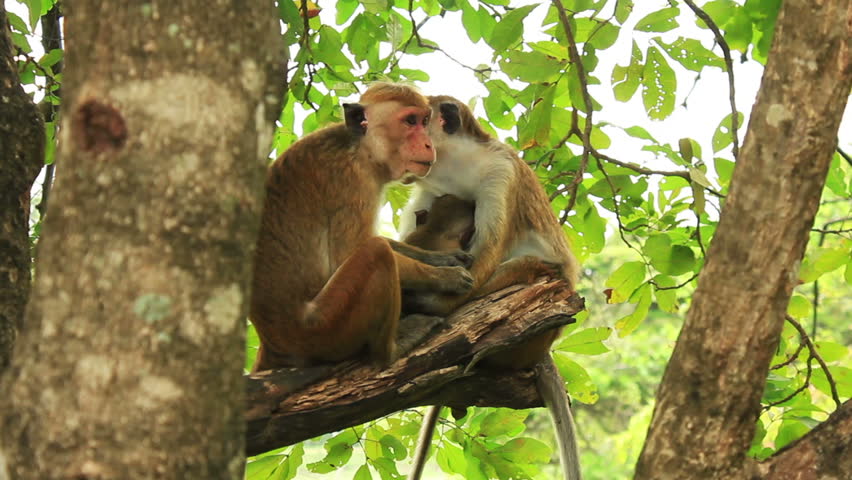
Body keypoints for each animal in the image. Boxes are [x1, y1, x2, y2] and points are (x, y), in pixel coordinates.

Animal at [248, 83, 476, 373]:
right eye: (410, 121)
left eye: (425, 122)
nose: (428, 144)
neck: (361, 148)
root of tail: (271, 341)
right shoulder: (352, 180)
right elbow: (352, 251)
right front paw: (445, 277)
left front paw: (442, 259)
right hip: (323, 328)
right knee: (376, 252)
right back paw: (390, 351)